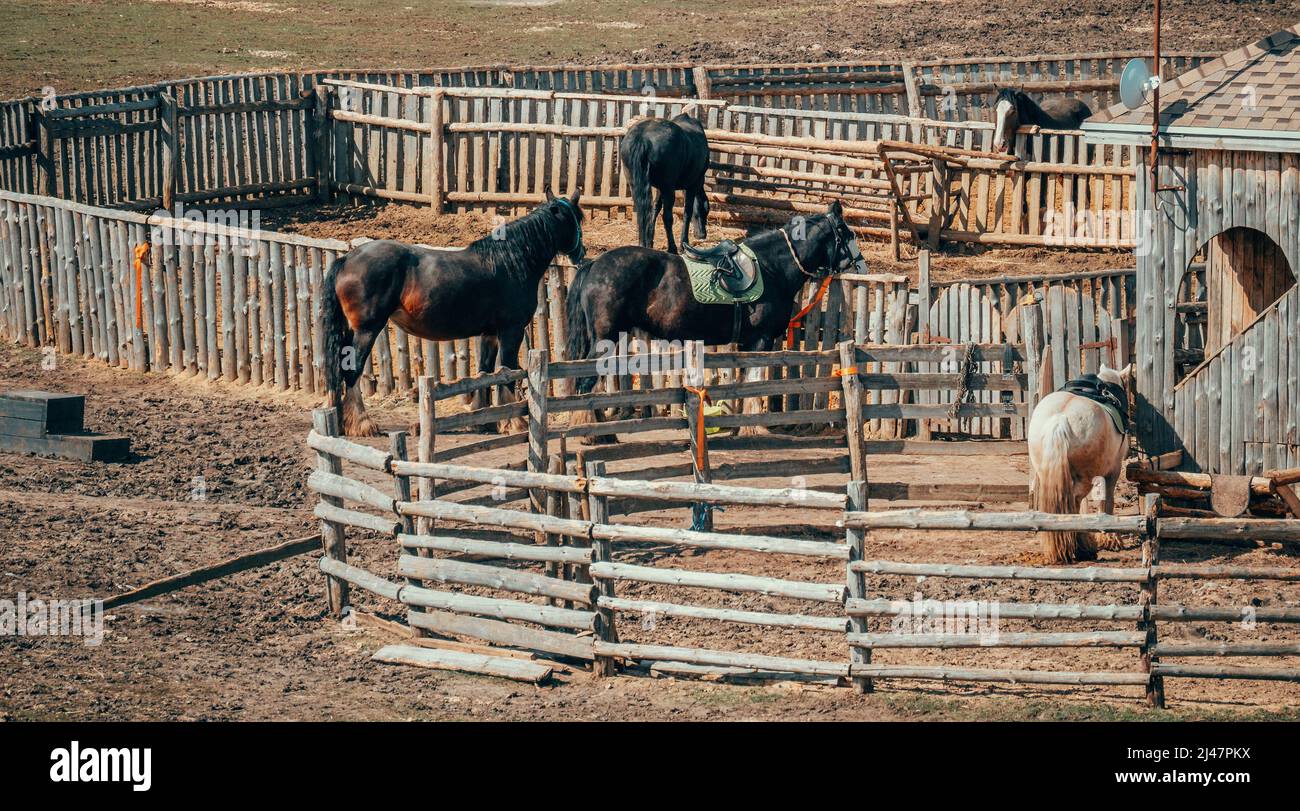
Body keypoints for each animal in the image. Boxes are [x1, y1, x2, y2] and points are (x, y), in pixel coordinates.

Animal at [321, 190, 586, 437]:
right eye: (577, 218)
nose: (581, 254)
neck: (510, 262)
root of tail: (346, 259)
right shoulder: (511, 332)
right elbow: (507, 373)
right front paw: (514, 422)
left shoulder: (490, 334)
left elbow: (484, 373)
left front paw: (483, 419)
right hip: (367, 330)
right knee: (351, 369)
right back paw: (362, 423)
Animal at [564, 201, 865, 440]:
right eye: (847, 233)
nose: (861, 264)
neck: (771, 268)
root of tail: (594, 265)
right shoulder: (761, 340)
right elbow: (755, 384)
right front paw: (755, 427)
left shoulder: (747, 344)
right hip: (605, 339)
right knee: (587, 382)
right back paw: (595, 434)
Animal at [620, 113, 710, 255]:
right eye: (705, 210)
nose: (702, 234)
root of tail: (642, 137)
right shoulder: (692, 185)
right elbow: (687, 212)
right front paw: (684, 244)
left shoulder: (659, 188)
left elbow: (656, 208)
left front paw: (650, 241)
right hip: (669, 189)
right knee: (667, 217)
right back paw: (672, 247)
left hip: (635, 184)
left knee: (642, 212)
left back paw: (643, 243)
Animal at [1027, 363, 1132, 564]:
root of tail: (1059, 419)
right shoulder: (1113, 471)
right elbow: (1106, 501)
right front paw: (1110, 538)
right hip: (1086, 477)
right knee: (1074, 501)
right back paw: (1083, 546)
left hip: (1049, 473)